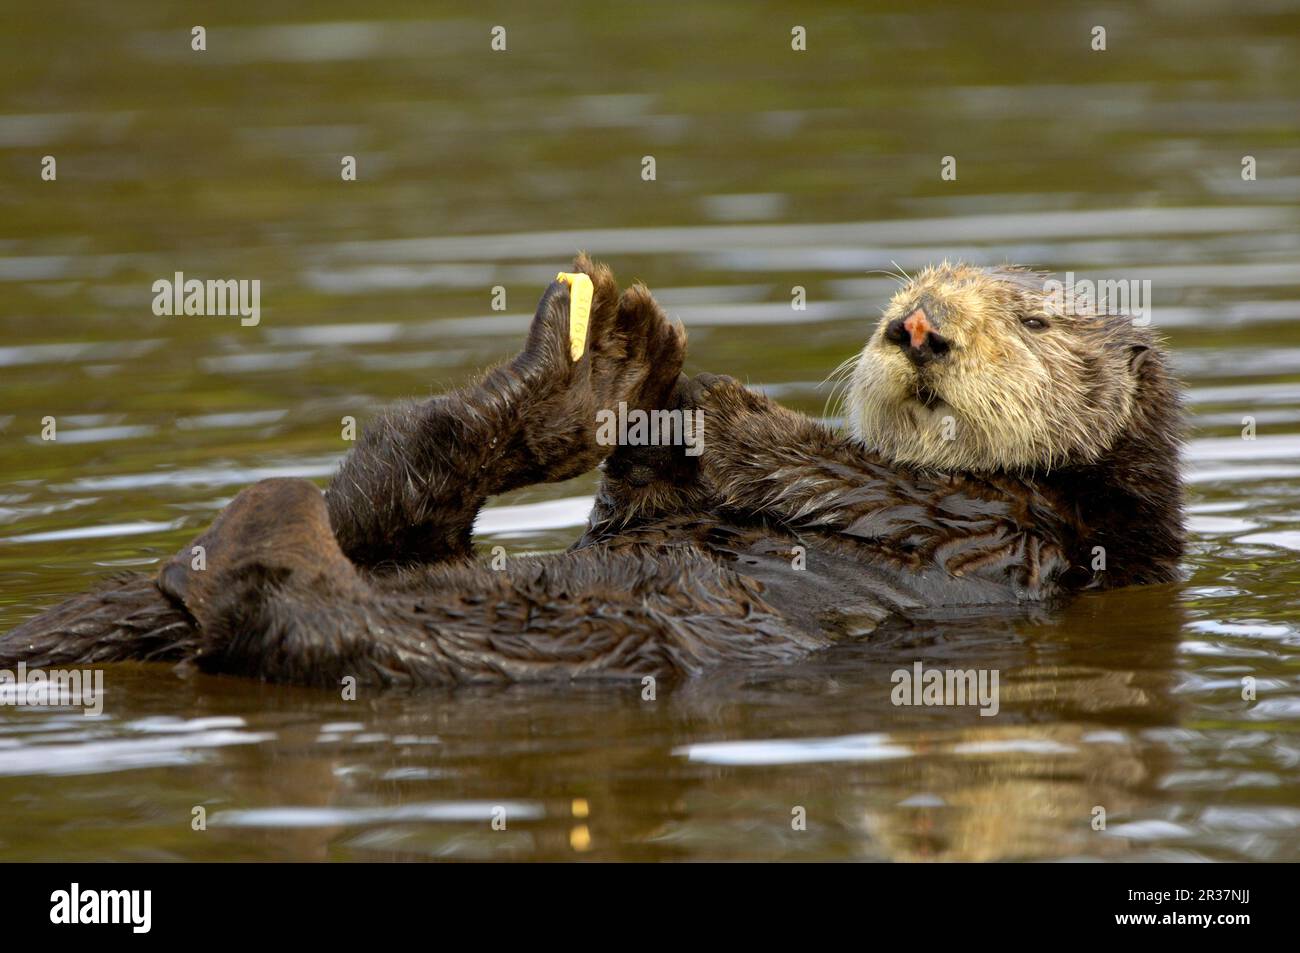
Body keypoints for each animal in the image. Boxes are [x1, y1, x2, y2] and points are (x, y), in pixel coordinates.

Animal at [0, 258, 1184, 688]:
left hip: (527, 644)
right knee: (398, 490)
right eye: (910, 289)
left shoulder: (1001, 527)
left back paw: (259, 545)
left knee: (304, 611)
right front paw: (665, 410)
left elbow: (856, 476)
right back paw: (589, 367)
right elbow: (634, 506)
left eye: (1032, 319)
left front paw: (724, 408)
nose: (917, 326)